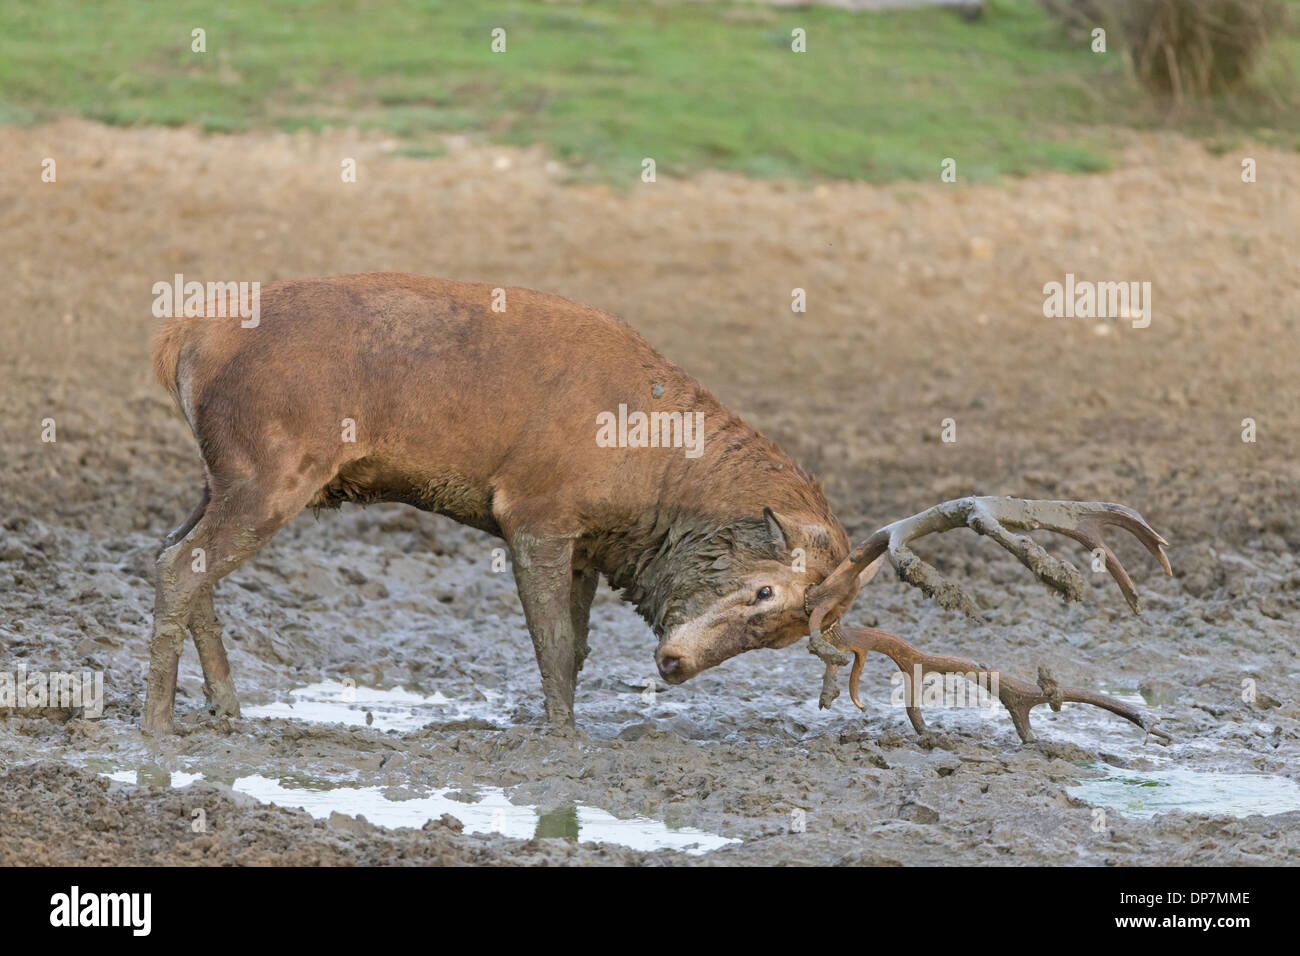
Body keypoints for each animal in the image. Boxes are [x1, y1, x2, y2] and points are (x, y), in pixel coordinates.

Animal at [144, 272, 1173, 743]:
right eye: (764, 594)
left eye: (781, 635)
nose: (676, 665)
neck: (648, 482)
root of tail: (182, 340)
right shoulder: (536, 507)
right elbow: (553, 645)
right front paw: (561, 735)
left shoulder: (589, 541)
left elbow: (576, 646)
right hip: (275, 464)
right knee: (177, 563)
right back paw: (160, 721)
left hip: (223, 472)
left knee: (181, 555)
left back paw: (228, 710)